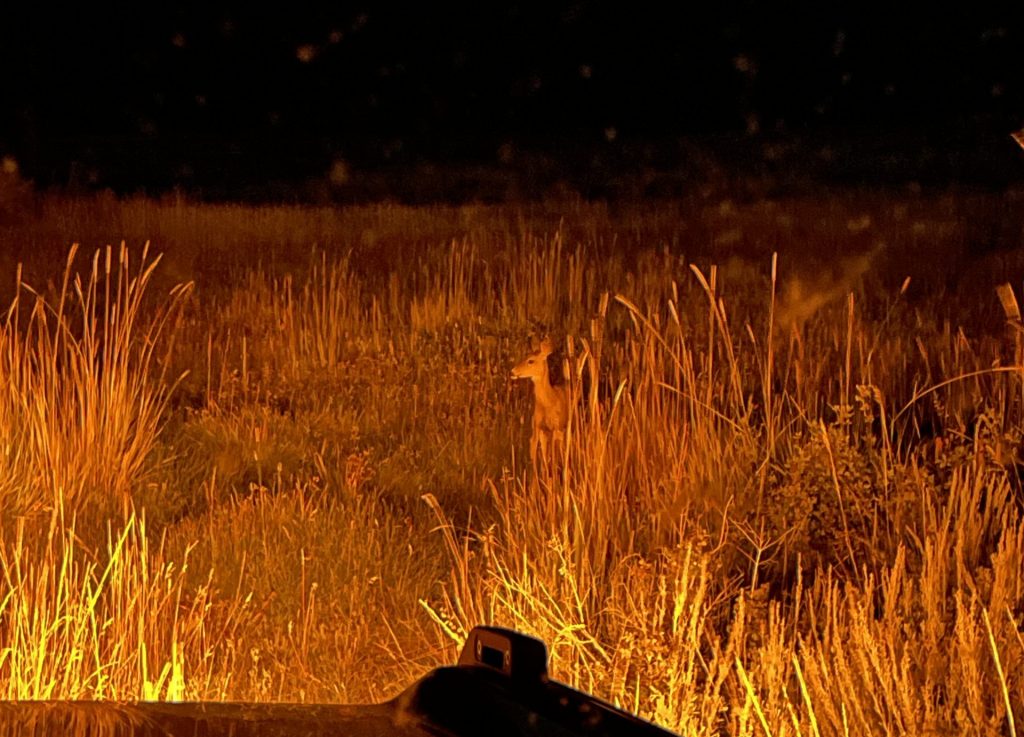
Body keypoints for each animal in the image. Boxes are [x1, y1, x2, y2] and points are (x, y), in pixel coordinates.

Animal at [511, 336, 570, 471]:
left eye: (531, 361)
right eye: (525, 356)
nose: (512, 371)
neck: (548, 402)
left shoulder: (555, 426)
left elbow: (552, 457)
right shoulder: (537, 426)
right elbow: (535, 455)